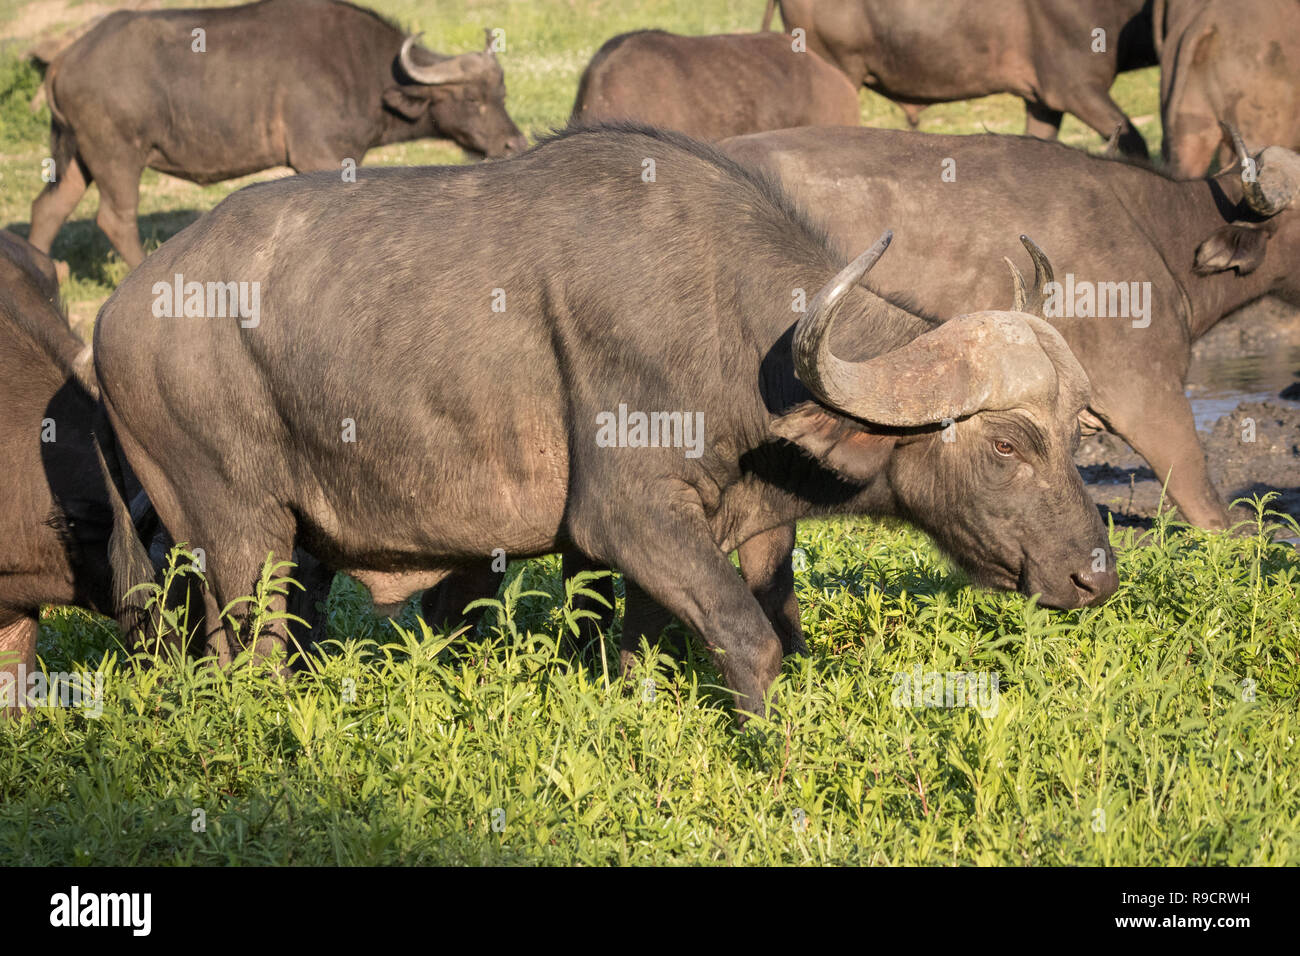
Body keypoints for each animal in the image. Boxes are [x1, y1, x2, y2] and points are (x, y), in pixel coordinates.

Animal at [28, 0, 528, 268]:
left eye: (502, 93)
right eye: (471, 99)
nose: (513, 144)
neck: (365, 72)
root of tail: (65, 59)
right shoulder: (320, 156)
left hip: (79, 159)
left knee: (48, 208)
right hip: (116, 157)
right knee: (115, 219)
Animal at [94, 126, 1115, 718]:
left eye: (1078, 435)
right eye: (1008, 443)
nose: (1095, 573)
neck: (733, 329)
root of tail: (122, 309)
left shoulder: (696, 529)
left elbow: (656, 648)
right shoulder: (627, 517)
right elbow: (751, 639)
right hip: (241, 534)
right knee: (252, 656)